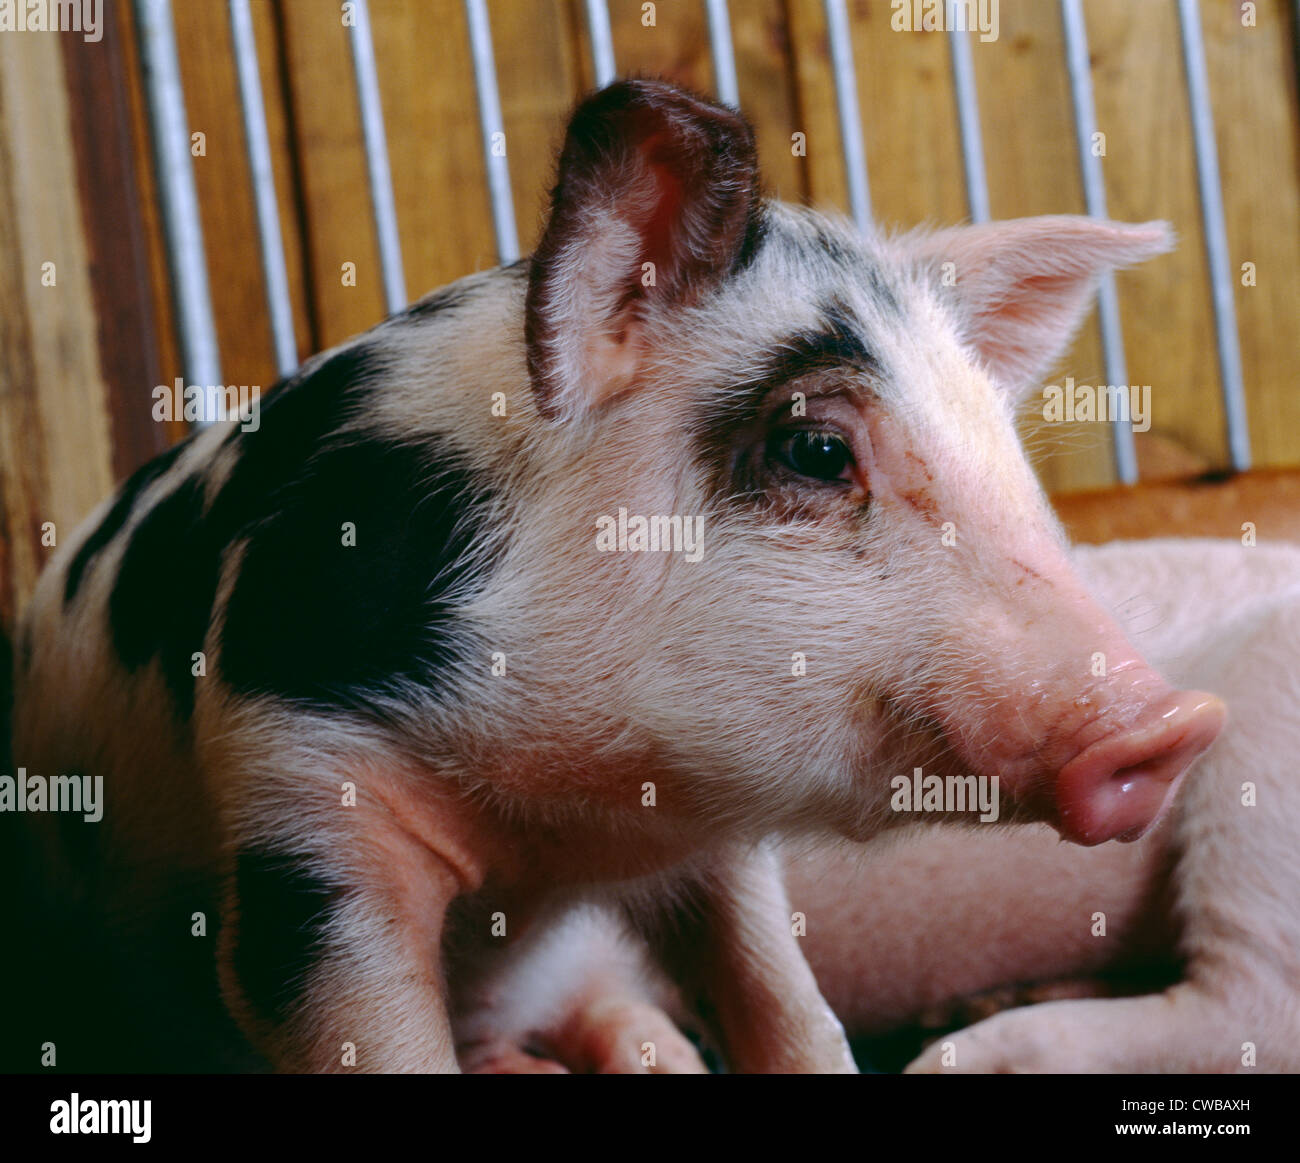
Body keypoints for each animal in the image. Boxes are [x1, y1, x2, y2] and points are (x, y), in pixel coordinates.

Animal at [8, 79, 1224, 1073]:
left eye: (1004, 445)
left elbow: (790, 1008)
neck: (561, 819)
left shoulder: (715, 852)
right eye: (815, 447)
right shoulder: (298, 795)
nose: (1179, 720)